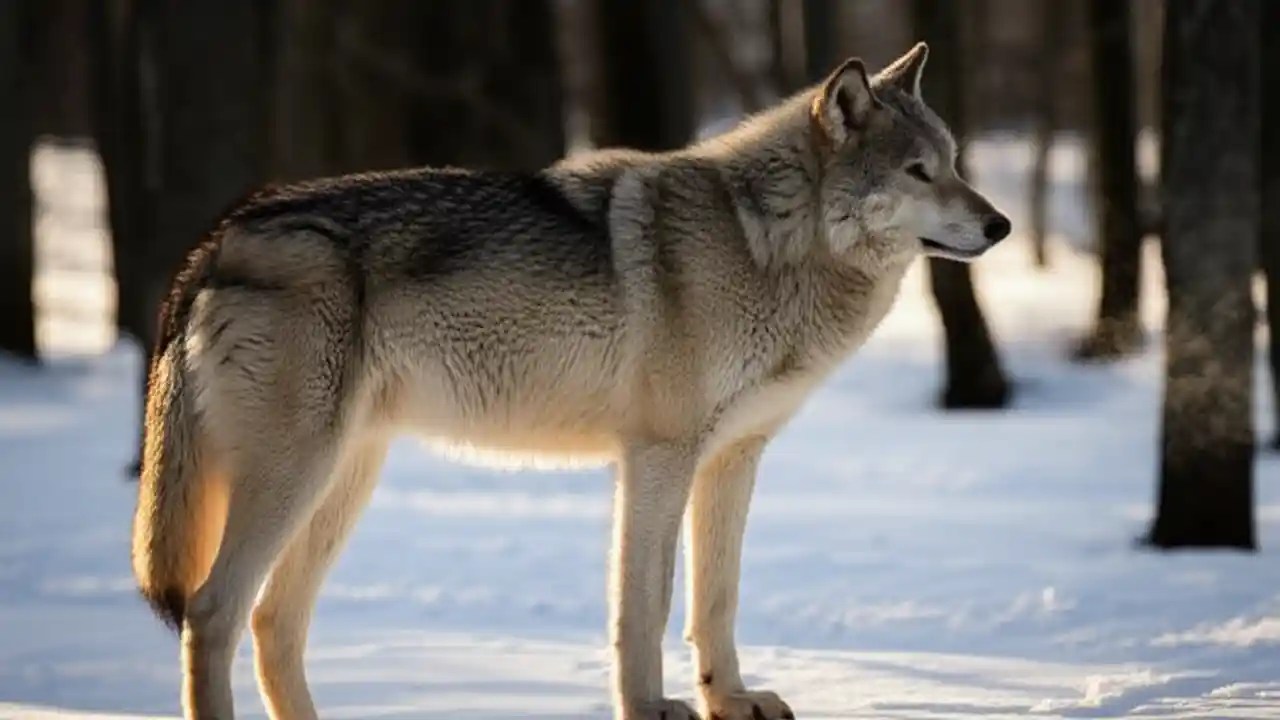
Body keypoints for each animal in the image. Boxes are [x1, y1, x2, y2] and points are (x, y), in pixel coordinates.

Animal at [131, 42, 1009, 720]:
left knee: (273, 622)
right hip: (294, 478)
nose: (999, 224)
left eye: (956, 165)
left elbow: (716, 599)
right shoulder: (658, 457)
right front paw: (649, 707)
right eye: (918, 172)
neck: (765, 242)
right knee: (213, 611)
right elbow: (648, 603)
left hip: (343, 482)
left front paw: (731, 700)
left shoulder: (734, 458)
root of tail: (220, 238)